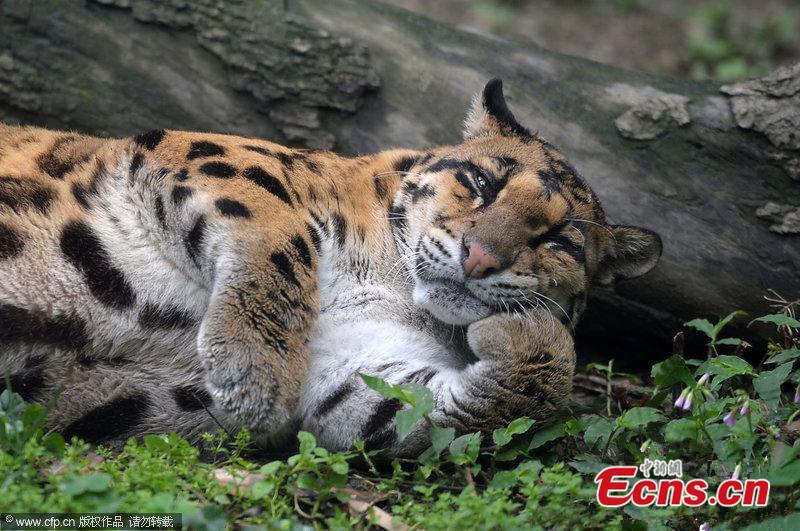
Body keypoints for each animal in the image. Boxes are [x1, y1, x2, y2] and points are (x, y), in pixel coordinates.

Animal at [0, 79, 662, 455]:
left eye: (557, 240)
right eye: (481, 183)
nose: (479, 259)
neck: (397, 286)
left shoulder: (349, 372)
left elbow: (447, 411)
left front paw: (529, 332)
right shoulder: (213, 157)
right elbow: (280, 235)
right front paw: (255, 373)